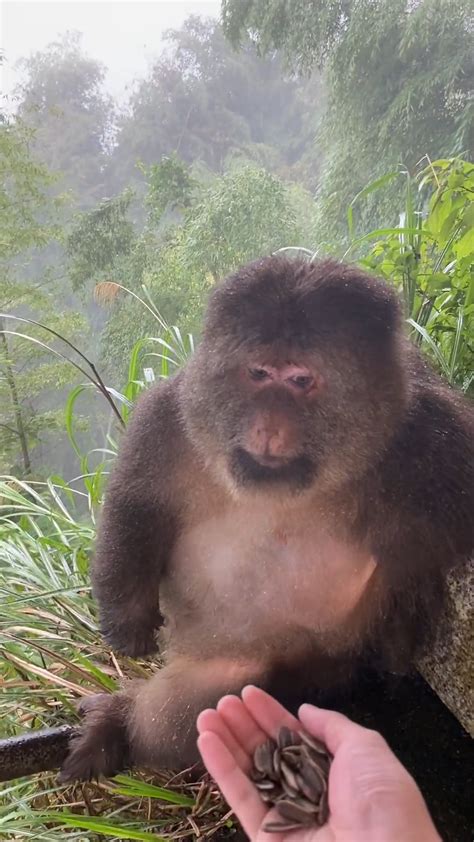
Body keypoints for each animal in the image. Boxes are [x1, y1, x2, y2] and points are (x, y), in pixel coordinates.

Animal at [60, 255, 474, 782]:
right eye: (258, 373)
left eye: (300, 380)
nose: (269, 426)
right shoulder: (171, 415)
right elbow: (139, 503)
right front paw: (127, 621)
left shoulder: (438, 442)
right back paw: (117, 726)